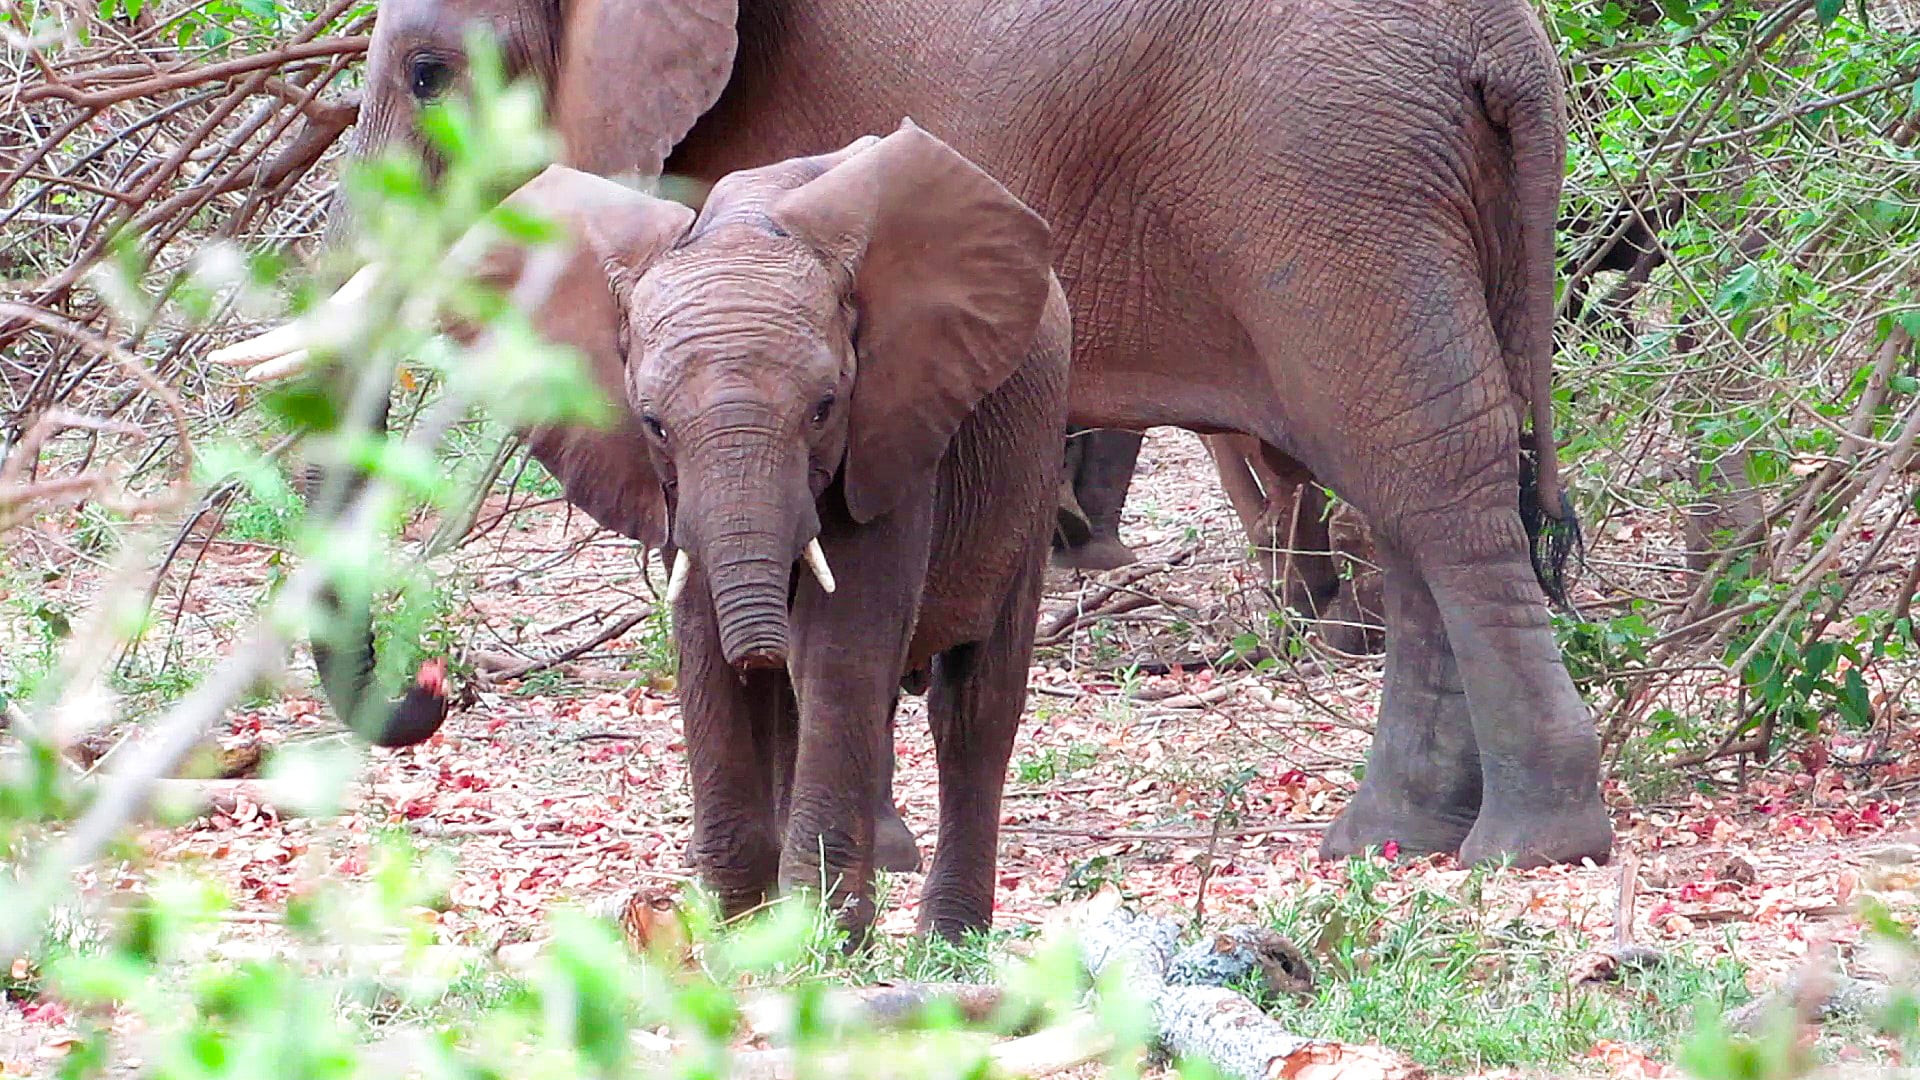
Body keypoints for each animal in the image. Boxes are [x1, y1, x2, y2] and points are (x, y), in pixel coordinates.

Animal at [233, 0, 1614, 871]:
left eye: (426, 74)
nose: (428, 693)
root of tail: (1511, 47)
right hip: (1423, 194)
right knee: (1414, 474)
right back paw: (1393, 839)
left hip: (1330, 185)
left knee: (1428, 476)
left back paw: (1524, 850)